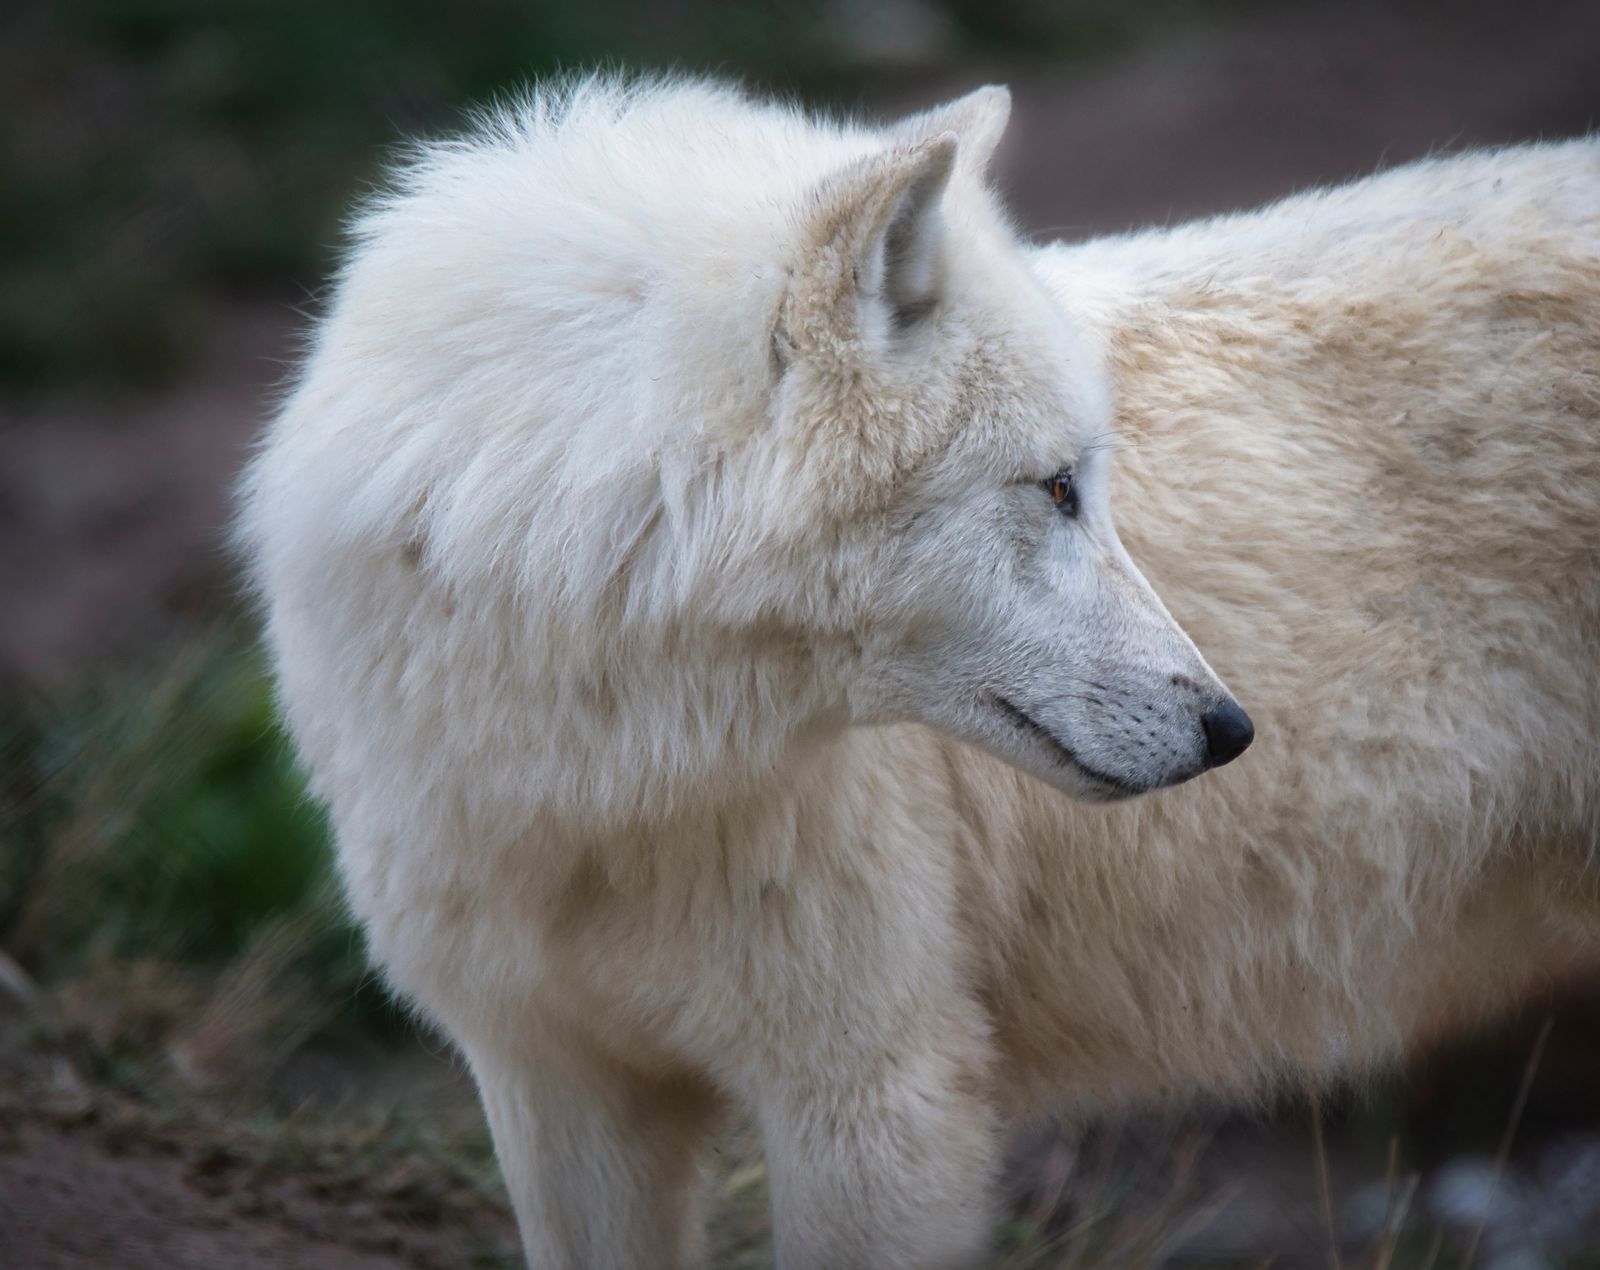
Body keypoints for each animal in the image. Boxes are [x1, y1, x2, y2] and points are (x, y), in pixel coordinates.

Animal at [239, 77, 1600, 1268]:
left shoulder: (876, 1099)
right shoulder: (553, 1083)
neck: (599, 783)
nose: (1230, 728)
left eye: (1089, 480)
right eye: (1054, 487)